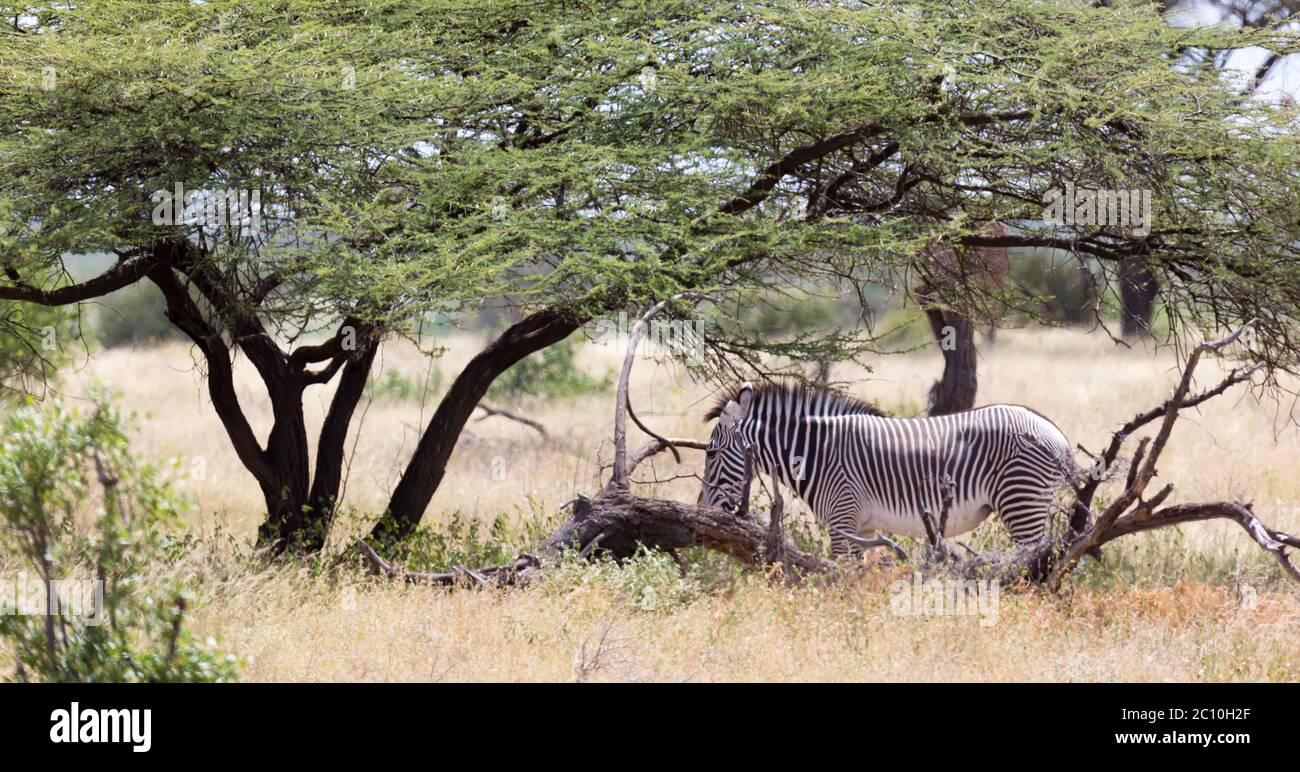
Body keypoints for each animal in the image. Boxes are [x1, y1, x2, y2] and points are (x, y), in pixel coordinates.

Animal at [697, 381, 1082, 556]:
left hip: (1022, 502)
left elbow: (839, 576)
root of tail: (1058, 434)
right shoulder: (862, 527)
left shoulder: (842, 519)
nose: (702, 510)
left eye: (711, 453)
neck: (815, 453)